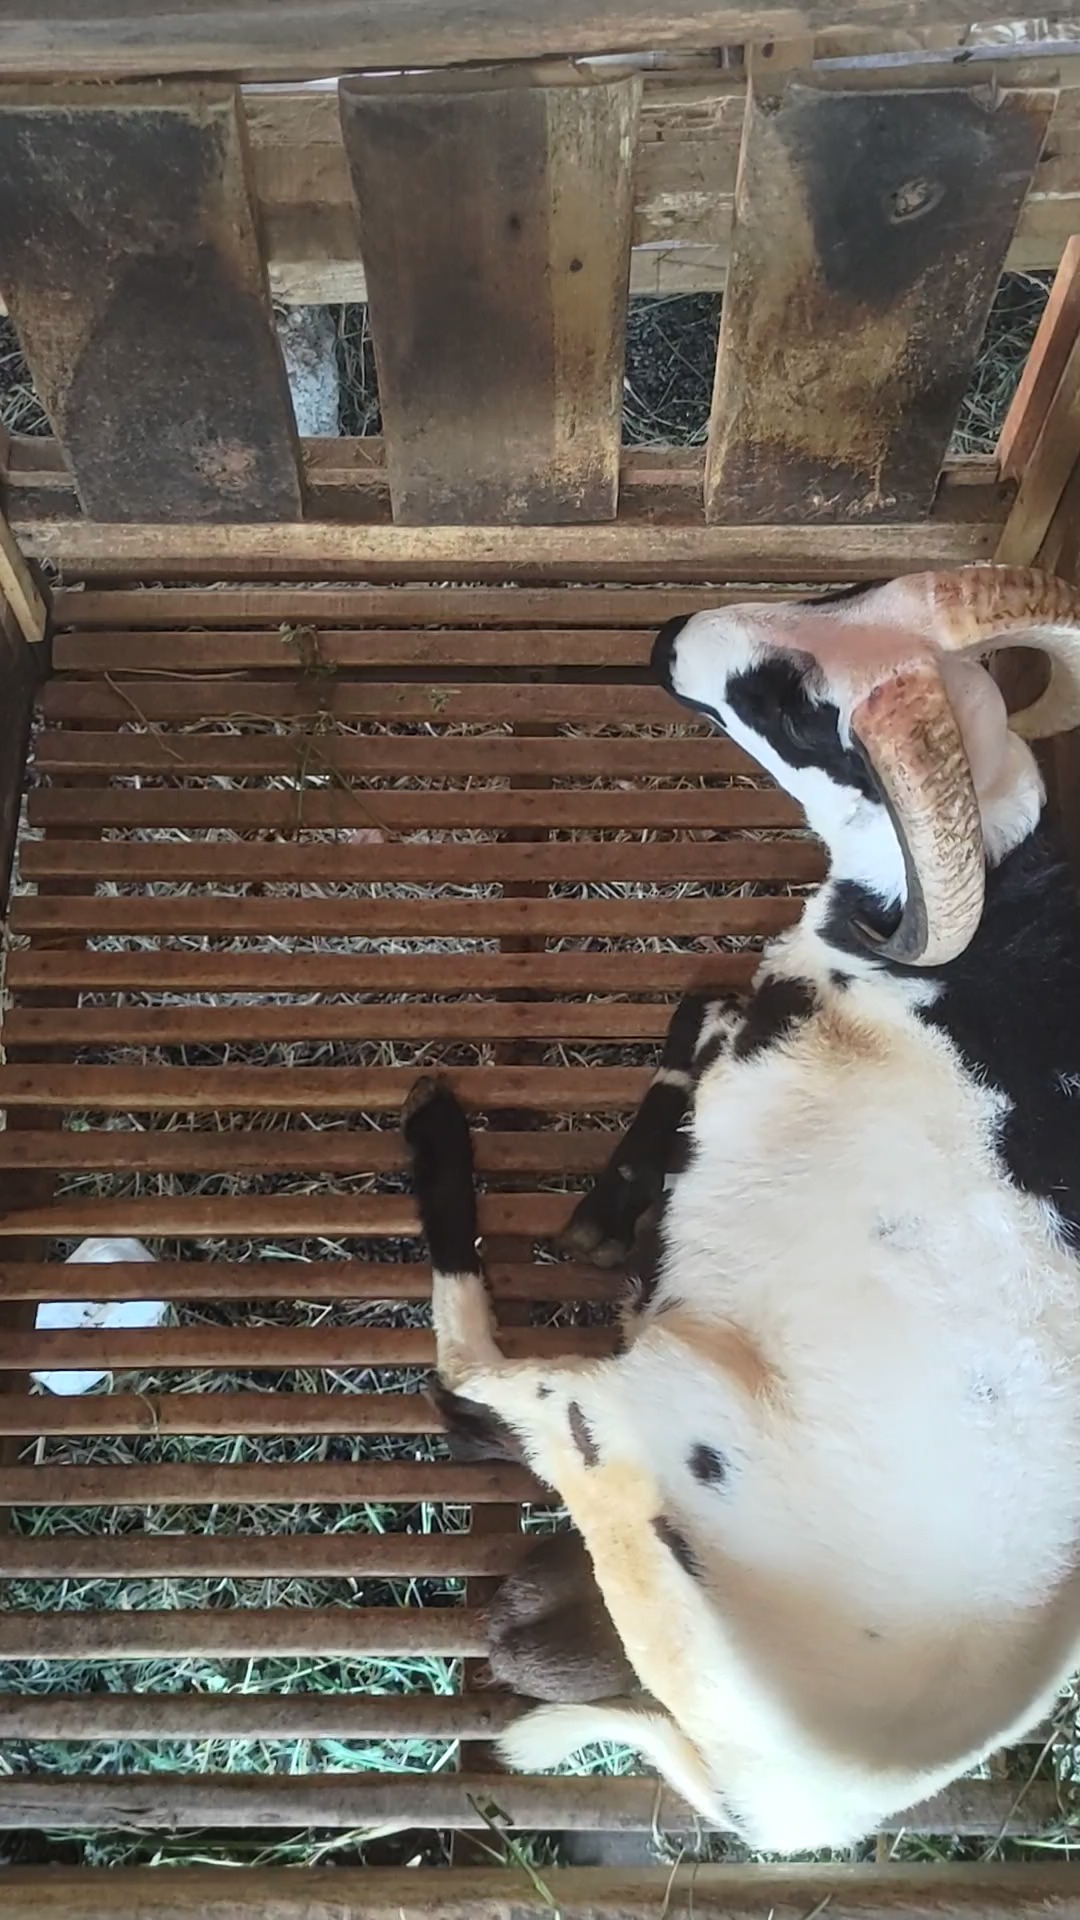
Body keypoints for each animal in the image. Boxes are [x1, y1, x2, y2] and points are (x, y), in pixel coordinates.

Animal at [404, 565, 1080, 1852]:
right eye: (850, 587)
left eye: (801, 714)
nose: (672, 638)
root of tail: (771, 1798)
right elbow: (698, 1010)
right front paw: (615, 1214)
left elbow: (708, 1018)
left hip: (625, 1417)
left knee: (467, 1388)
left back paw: (439, 1135)